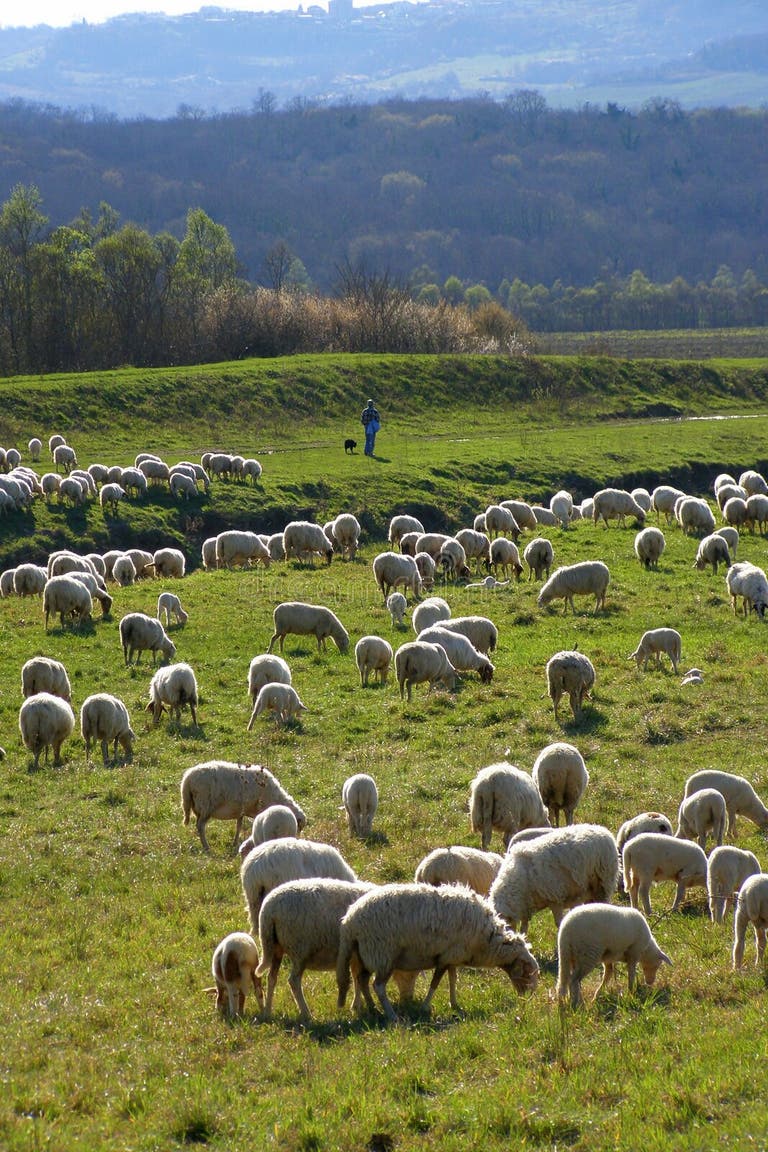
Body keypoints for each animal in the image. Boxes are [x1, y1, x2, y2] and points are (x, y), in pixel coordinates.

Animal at [336, 883, 538, 1022]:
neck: (486, 941)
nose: (529, 998)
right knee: (377, 986)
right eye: (528, 971)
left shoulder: (452, 956)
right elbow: (435, 983)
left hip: (366, 955)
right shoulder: (445, 956)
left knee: (362, 980)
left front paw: (454, 1004)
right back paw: (392, 1016)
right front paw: (425, 1007)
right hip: (382, 954)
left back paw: (373, 1009)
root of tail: (349, 921)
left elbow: (452, 979)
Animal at [490, 823, 619, 933]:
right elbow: (524, 926)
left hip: (604, 884)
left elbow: (558, 923)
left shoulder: (555, 898)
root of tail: (604, 830)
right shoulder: (526, 904)